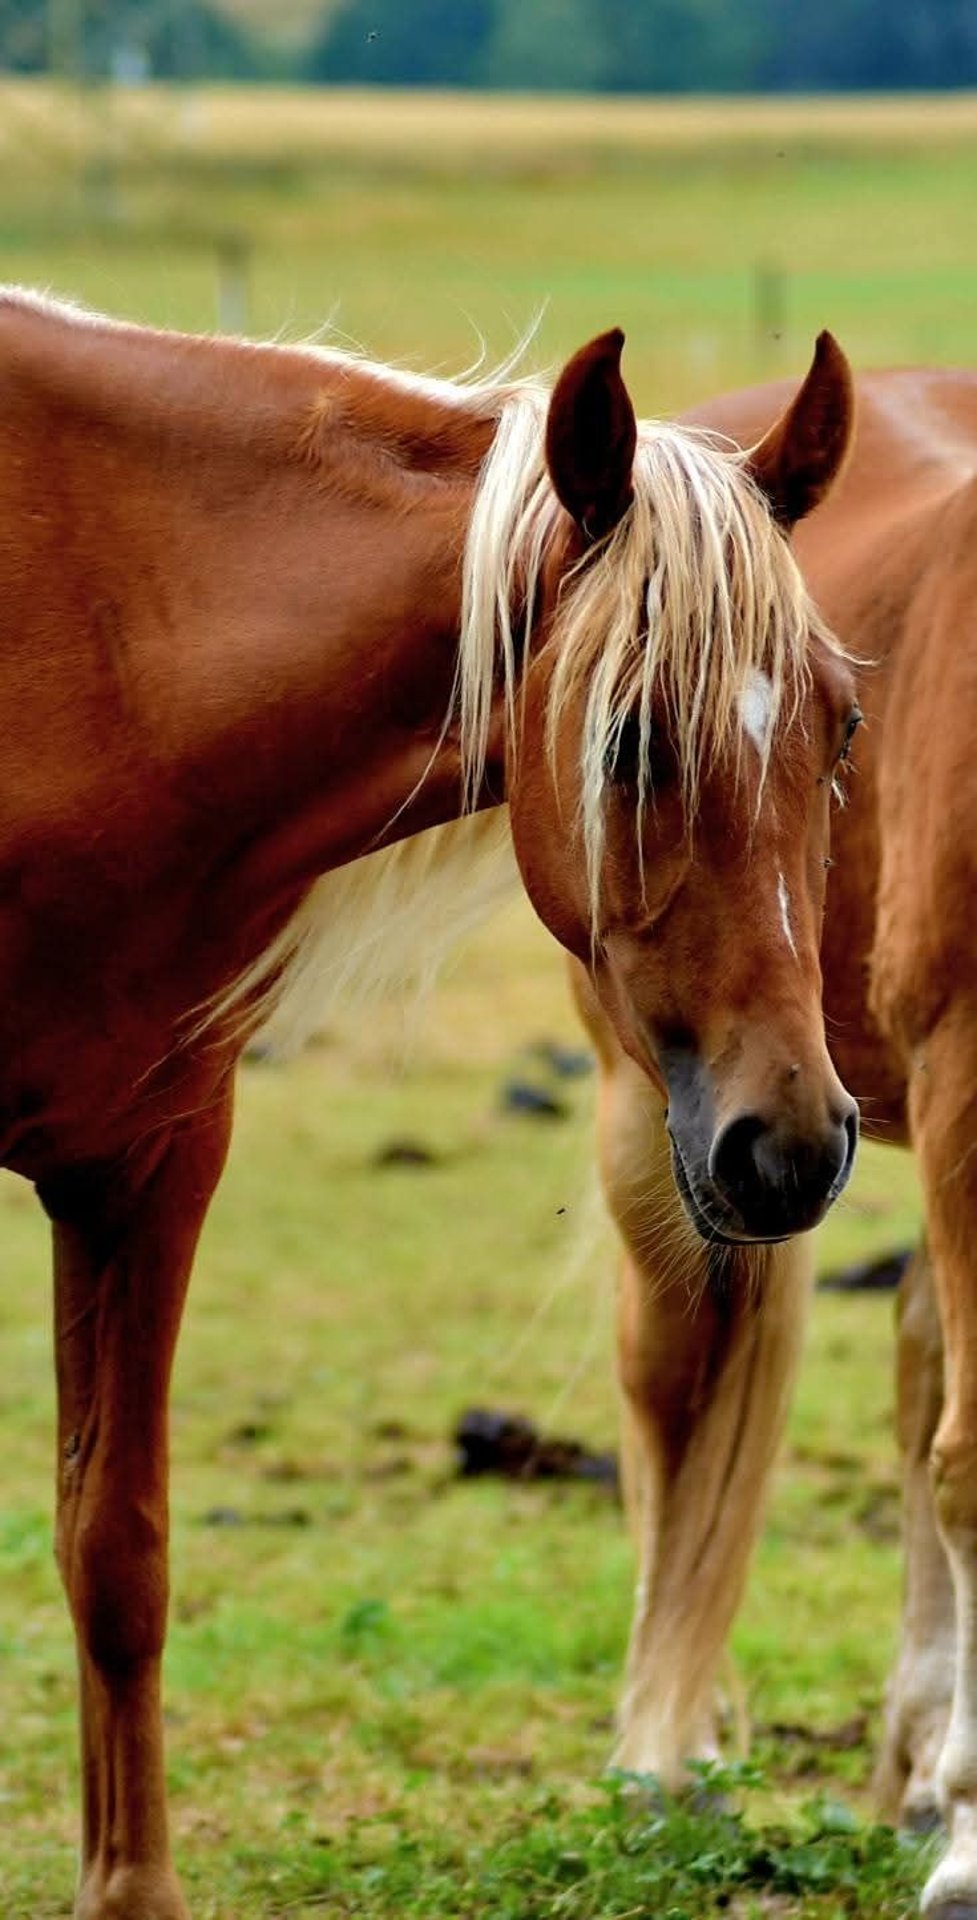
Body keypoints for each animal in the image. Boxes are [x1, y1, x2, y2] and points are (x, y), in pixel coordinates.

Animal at [0, 288, 857, 1919]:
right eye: (629, 737)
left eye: (841, 726)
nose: (788, 1146)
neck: (95, 643)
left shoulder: (146, 1153)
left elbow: (116, 1547)